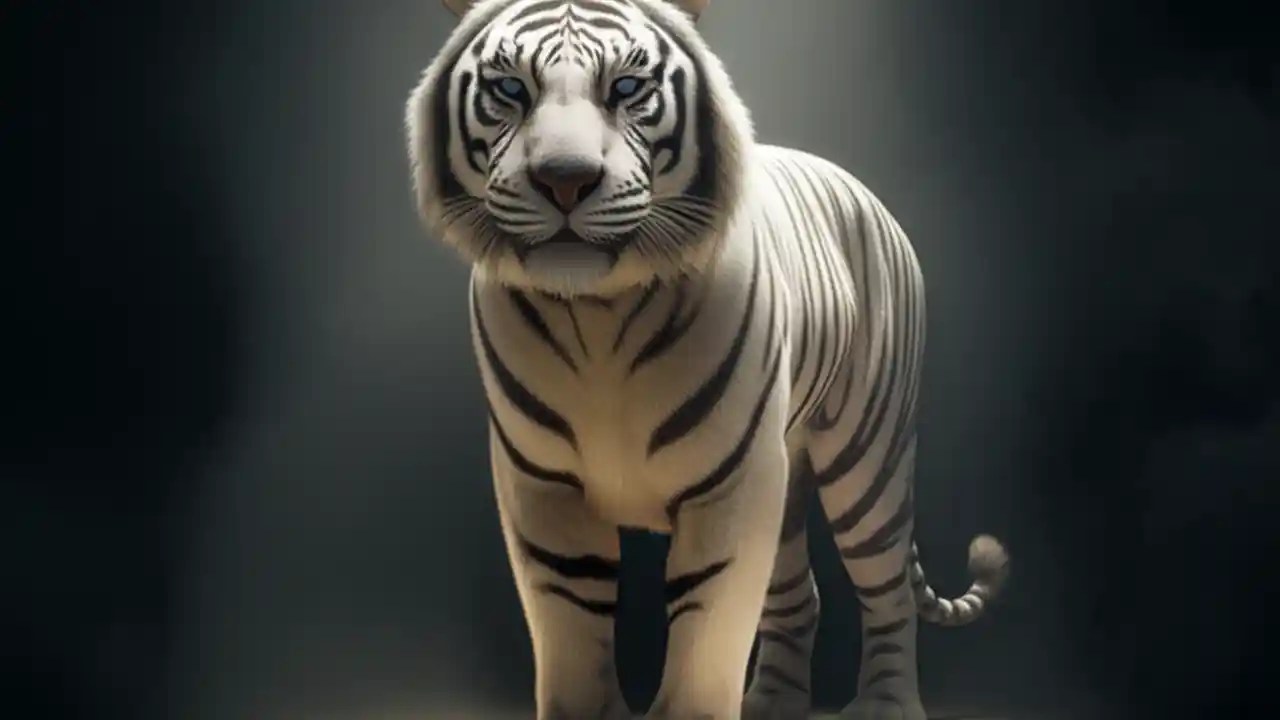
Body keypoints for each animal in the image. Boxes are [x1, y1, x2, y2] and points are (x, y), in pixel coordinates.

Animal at [405, 1, 1010, 718]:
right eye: (509, 89)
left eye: (627, 88)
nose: (565, 180)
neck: (596, 313)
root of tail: (859, 187)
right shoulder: (542, 484)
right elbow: (572, 634)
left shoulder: (733, 484)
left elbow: (705, 642)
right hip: (786, 468)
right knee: (800, 593)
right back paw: (771, 702)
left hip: (865, 458)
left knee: (885, 588)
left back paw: (885, 706)